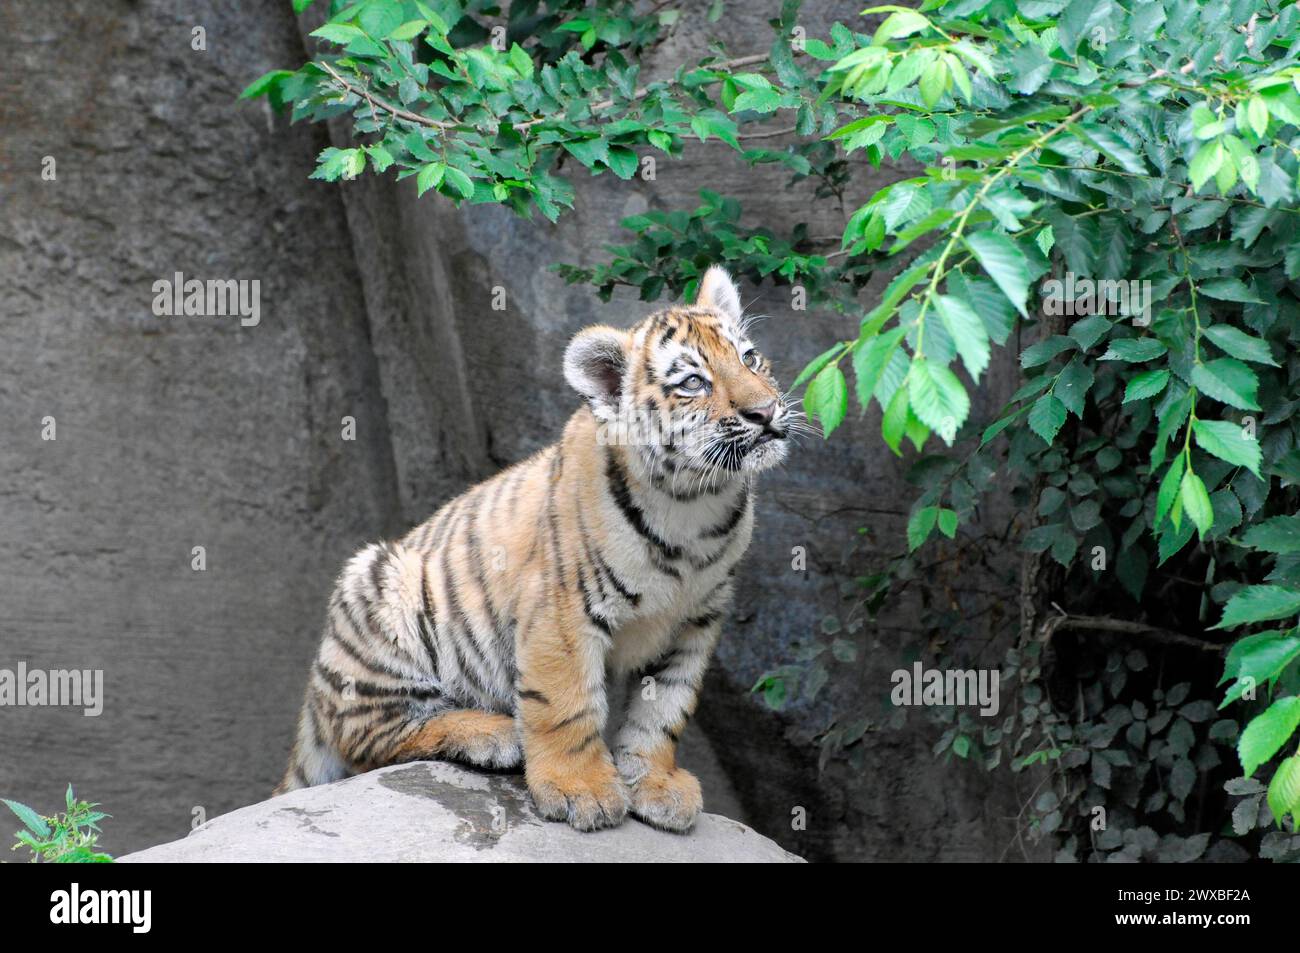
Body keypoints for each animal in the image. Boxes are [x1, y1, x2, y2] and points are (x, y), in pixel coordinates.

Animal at [274, 266, 795, 832]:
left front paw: (655, 785)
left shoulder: (695, 622)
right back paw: (492, 734)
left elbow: (665, 708)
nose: (766, 410)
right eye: (693, 383)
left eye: (749, 357)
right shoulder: (562, 613)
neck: (696, 503)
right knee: (369, 741)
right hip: (377, 588)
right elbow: (566, 703)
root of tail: (314, 692)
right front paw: (580, 791)